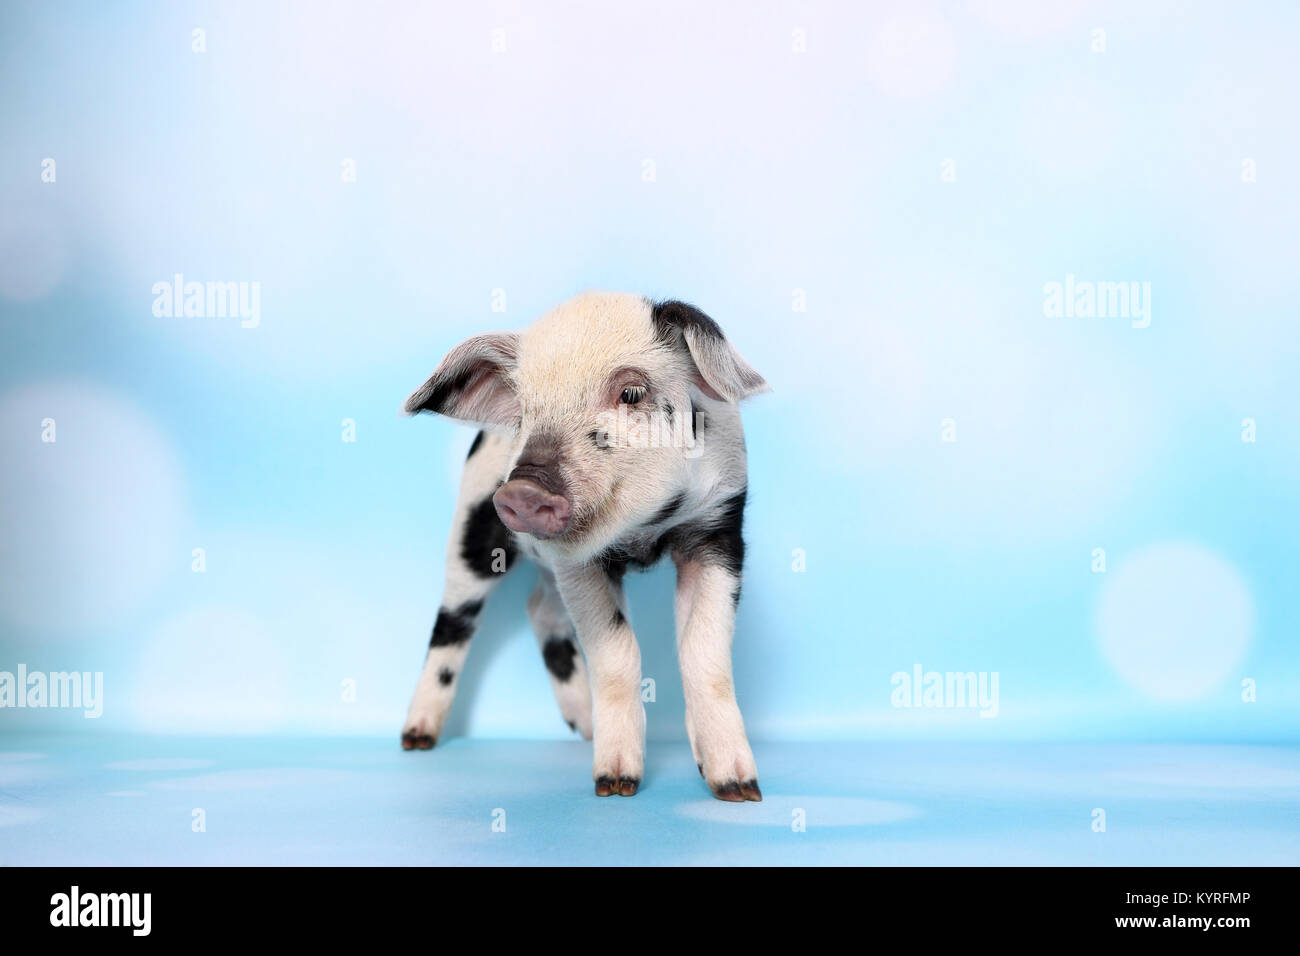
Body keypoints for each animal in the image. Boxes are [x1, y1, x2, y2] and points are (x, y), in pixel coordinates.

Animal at [399, 291, 768, 801]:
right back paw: (416, 740)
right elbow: (617, 652)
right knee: (453, 622)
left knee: (539, 607)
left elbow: (703, 649)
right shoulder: (580, 565)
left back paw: (584, 726)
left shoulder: (717, 531)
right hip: (470, 534)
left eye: (631, 394)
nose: (523, 489)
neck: (644, 532)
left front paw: (739, 789)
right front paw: (615, 785)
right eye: (525, 410)